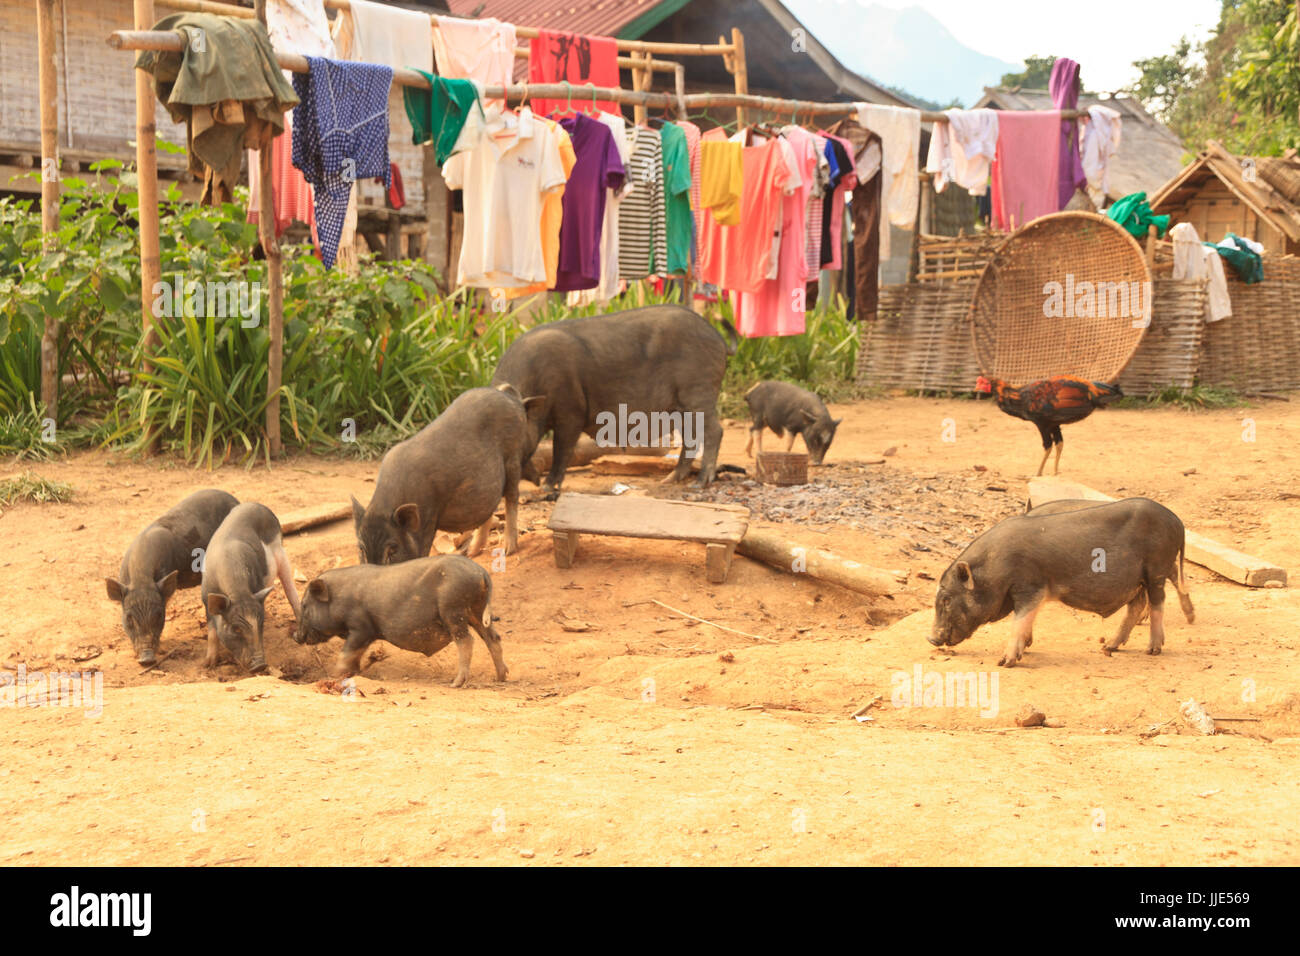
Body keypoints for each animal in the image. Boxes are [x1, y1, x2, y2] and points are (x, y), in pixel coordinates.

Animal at [201, 502, 302, 673]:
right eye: (236, 628)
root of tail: (256, 504)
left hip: (281, 552)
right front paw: (208, 665)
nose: (260, 665)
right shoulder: (206, 599)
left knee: (291, 592)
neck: (238, 592)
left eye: (261, 624)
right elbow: (212, 632)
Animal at [292, 555, 506, 688]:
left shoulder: (361, 627)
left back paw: (456, 683)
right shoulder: (367, 633)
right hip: (476, 611)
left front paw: (333, 675)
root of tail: (481, 572)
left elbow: (346, 653)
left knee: (466, 641)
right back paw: (501, 678)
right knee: (493, 638)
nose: (295, 635)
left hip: (453, 610)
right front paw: (354, 672)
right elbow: (355, 656)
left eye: (304, 606)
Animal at [351, 386, 534, 565]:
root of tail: (511, 398)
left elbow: (423, 550)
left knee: (512, 497)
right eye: (361, 550)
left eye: (393, 550)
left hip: (513, 458)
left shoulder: (428, 518)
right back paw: (470, 553)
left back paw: (508, 550)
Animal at [491, 304, 737, 492]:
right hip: (682, 408)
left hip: (698, 391)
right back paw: (669, 480)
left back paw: (699, 484)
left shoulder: (571, 412)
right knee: (690, 438)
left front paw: (546, 488)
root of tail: (719, 340)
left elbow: (562, 449)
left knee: (714, 431)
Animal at [929, 497, 1194, 667]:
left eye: (946, 599)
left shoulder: (1029, 586)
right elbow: (1027, 619)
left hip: (1156, 569)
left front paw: (1004, 662)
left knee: (1158, 603)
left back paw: (1153, 650)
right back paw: (1108, 647)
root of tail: (1178, 522)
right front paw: (1026, 648)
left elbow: (1019, 620)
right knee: (1136, 607)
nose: (931, 639)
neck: (996, 569)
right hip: (1136, 579)